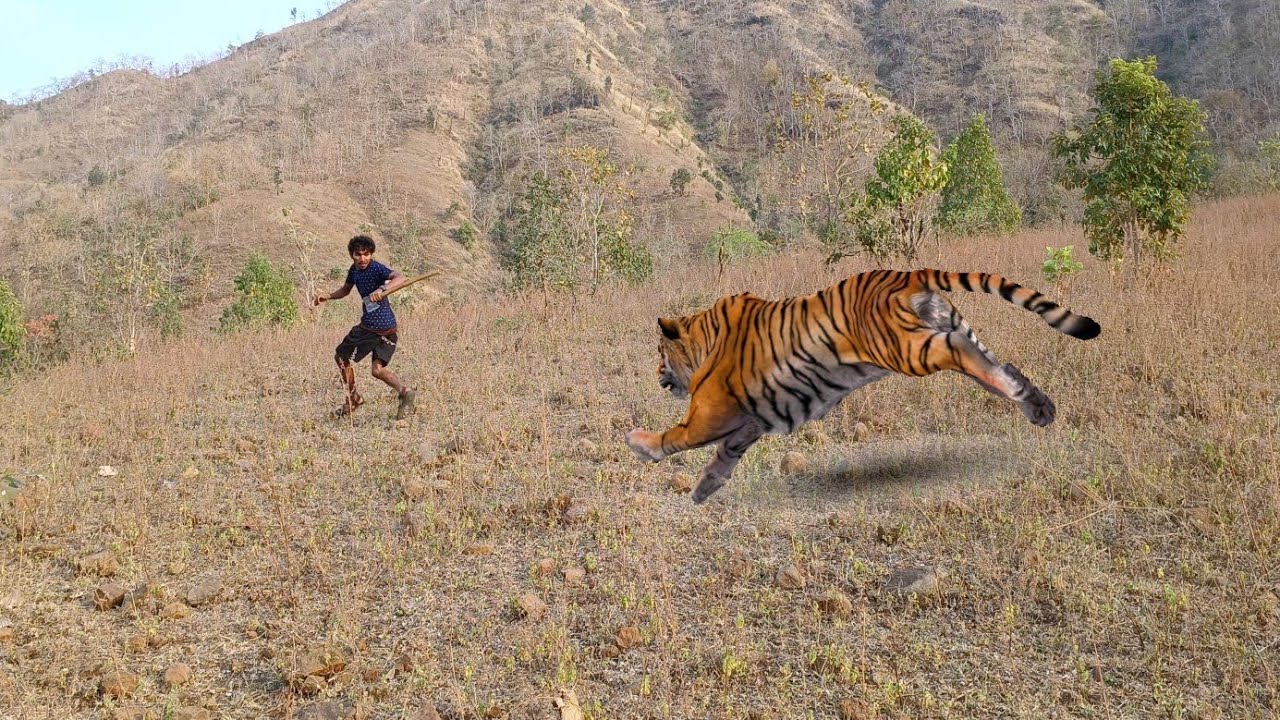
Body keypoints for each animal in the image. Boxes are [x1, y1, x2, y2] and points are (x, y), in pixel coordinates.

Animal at [625, 268, 1101, 503]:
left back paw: (1019, 390)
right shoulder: (752, 418)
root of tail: (907, 274)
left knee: (963, 353)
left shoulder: (711, 410)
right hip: (946, 325)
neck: (704, 336)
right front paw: (705, 490)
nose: (657, 371)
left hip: (910, 349)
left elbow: (679, 435)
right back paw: (1036, 402)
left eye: (661, 353)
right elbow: (727, 454)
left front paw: (641, 444)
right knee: (987, 357)